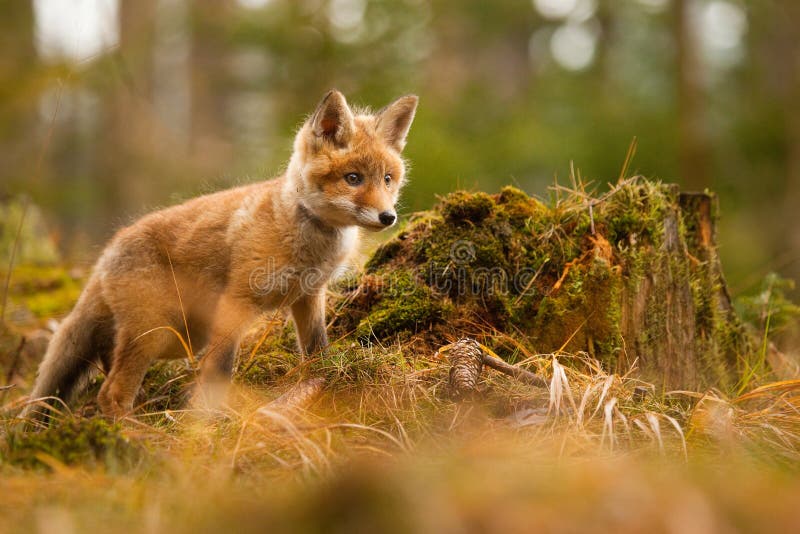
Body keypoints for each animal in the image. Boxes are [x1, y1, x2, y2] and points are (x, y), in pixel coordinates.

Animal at [23, 89, 418, 420]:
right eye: (353, 178)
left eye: (387, 179)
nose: (388, 217)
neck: (306, 236)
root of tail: (107, 252)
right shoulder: (237, 301)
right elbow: (219, 369)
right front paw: (207, 420)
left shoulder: (308, 296)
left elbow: (317, 349)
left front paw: (322, 384)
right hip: (158, 332)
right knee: (111, 392)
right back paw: (128, 434)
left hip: (177, 336)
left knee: (107, 368)